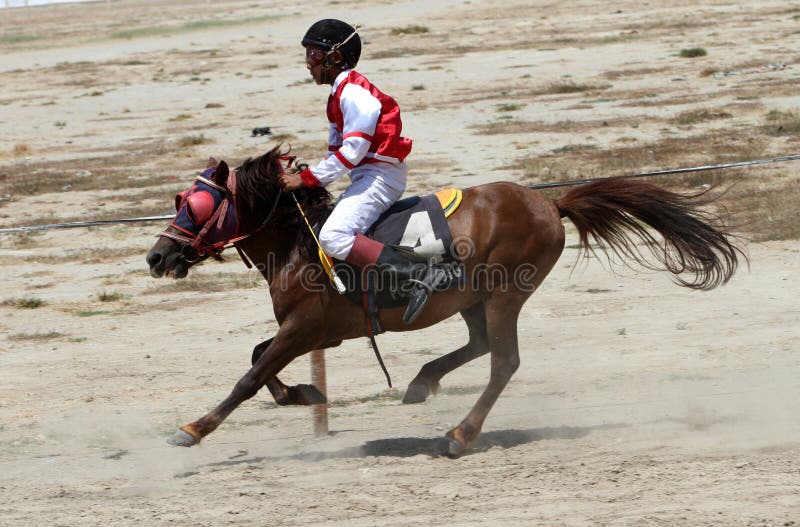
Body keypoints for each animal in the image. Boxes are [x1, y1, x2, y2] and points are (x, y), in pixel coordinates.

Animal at [146, 145, 743, 457]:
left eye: (195, 206)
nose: (156, 256)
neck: (299, 240)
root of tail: (549, 204)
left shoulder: (306, 328)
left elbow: (249, 376)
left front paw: (194, 429)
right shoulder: (312, 331)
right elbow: (256, 358)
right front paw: (304, 393)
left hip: (505, 295)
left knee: (503, 361)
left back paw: (461, 434)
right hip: (473, 299)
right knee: (479, 347)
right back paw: (422, 381)